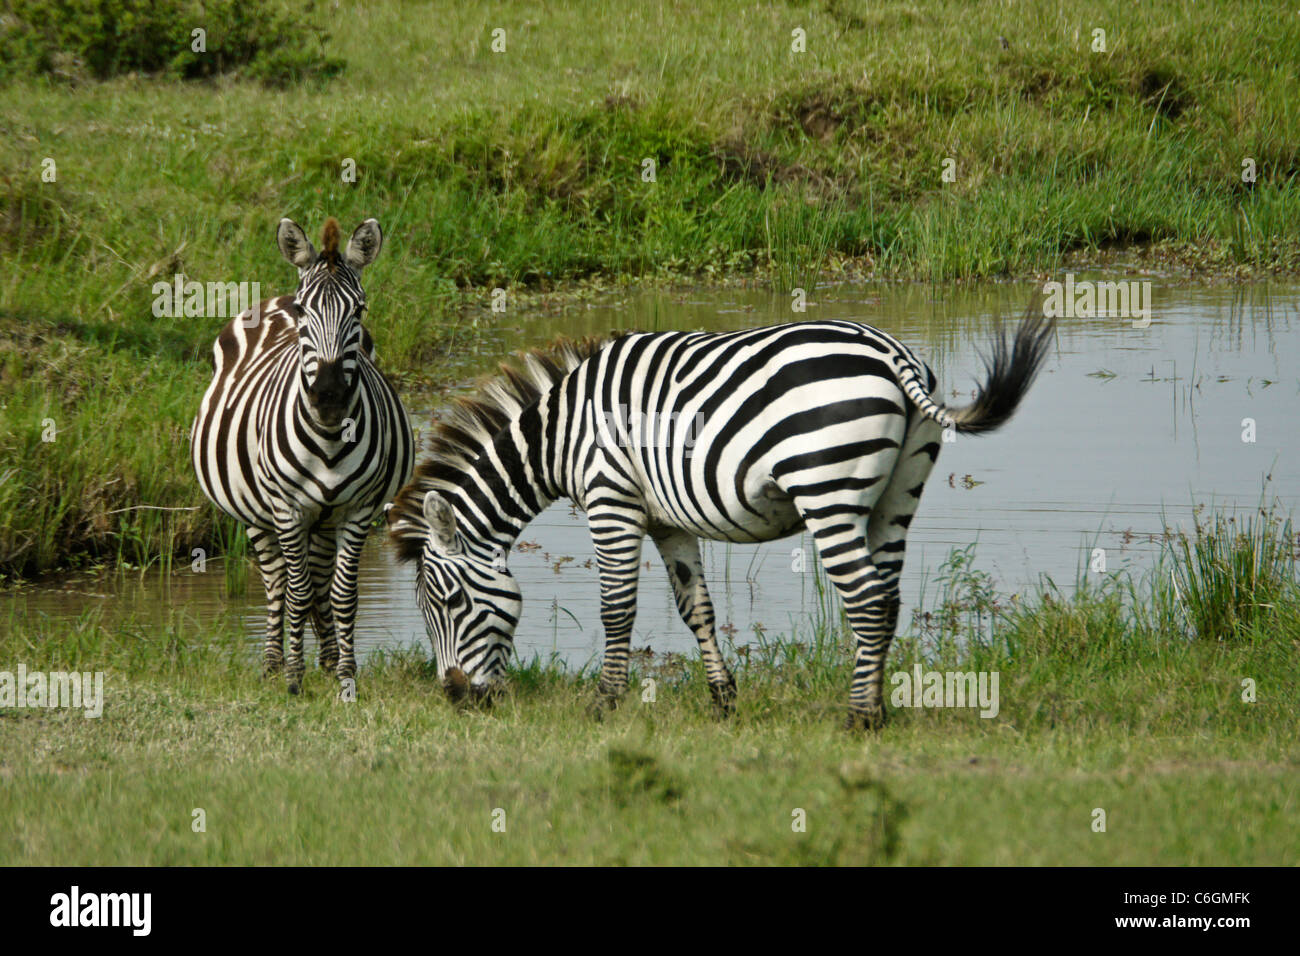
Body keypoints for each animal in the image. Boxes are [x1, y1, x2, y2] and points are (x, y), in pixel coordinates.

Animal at [192, 217, 414, 695]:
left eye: (359, 311)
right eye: (302, 312)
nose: (328, 398)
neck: (328, 438)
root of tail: (271, 298)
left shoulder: (358, 510)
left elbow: (342, 594)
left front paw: (346, 675)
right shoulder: (287, 509)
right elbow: (295, 592)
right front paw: (294, 676)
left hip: (325, 518)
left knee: (320, 580)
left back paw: (328, 659)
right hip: (255, 511)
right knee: (278, 581)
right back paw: (274, 662)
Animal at [387, 310, 1053, 728]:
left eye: (449, 602)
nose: (456, 698)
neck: (560, 435)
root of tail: (893, 354)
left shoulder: (611, 499)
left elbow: (616, 608)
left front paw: (604, 704)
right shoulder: (667, 519)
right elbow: (697, 608)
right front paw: (724, 702)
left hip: (828, 489)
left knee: (866, 600)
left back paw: (859, 719)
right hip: (898, 494)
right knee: (887, 599)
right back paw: (879, 708)